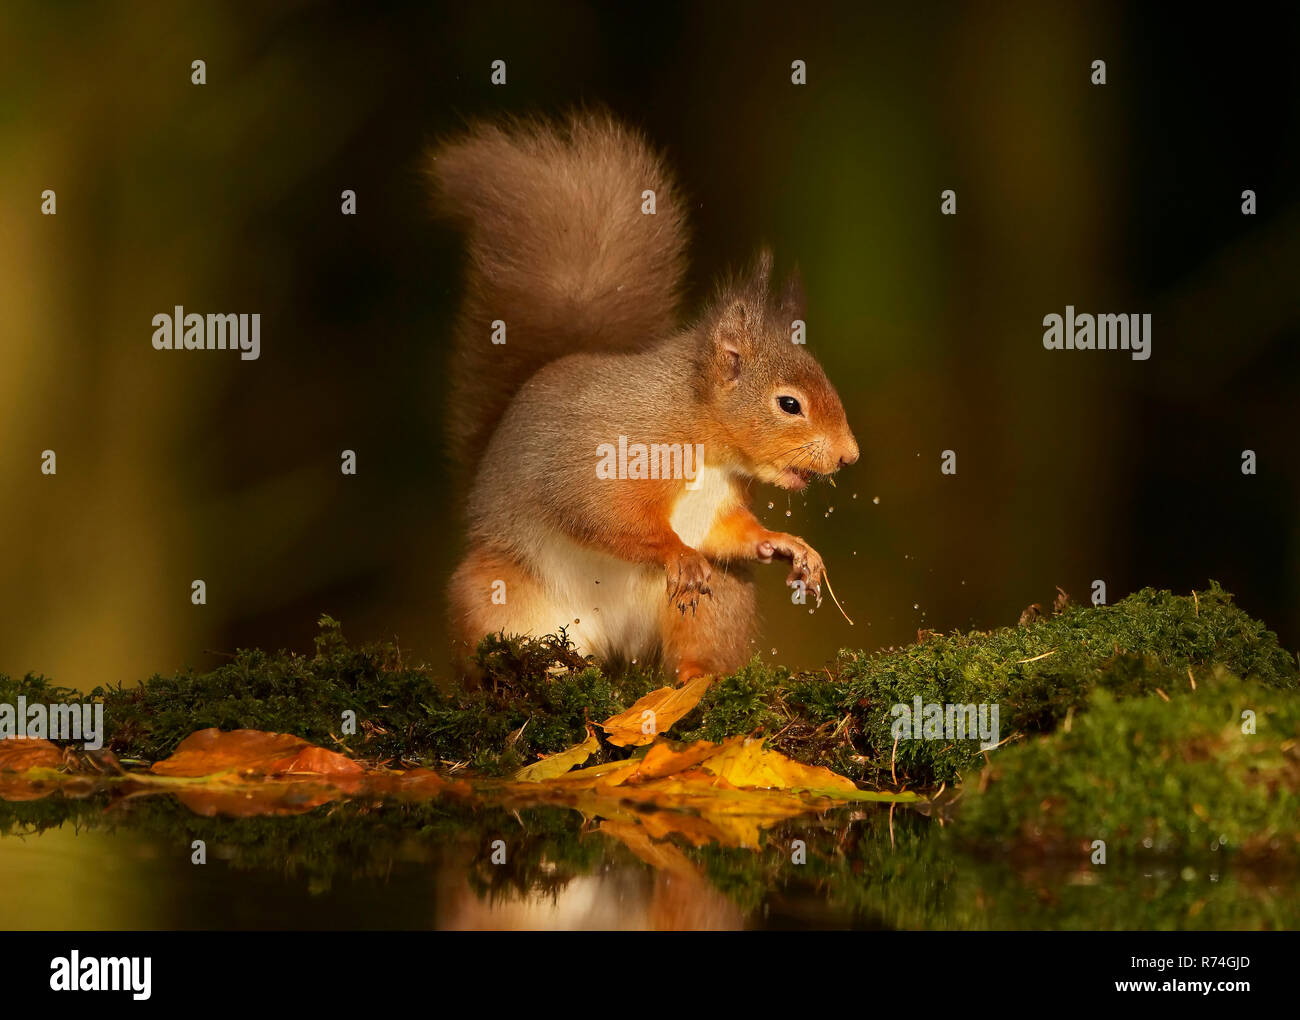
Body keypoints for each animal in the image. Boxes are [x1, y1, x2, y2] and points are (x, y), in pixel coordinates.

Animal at [430, 111, 858, 682]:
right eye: (789, 404)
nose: (849, 455)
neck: (703, 439)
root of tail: (611, 645)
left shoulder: (717, 505)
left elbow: (730, 533)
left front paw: (788, 546)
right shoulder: (614, 453)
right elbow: (600, 512)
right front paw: (678, 553)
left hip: (720, 599)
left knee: (696, 647)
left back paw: (691, 683)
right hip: (494, 595)